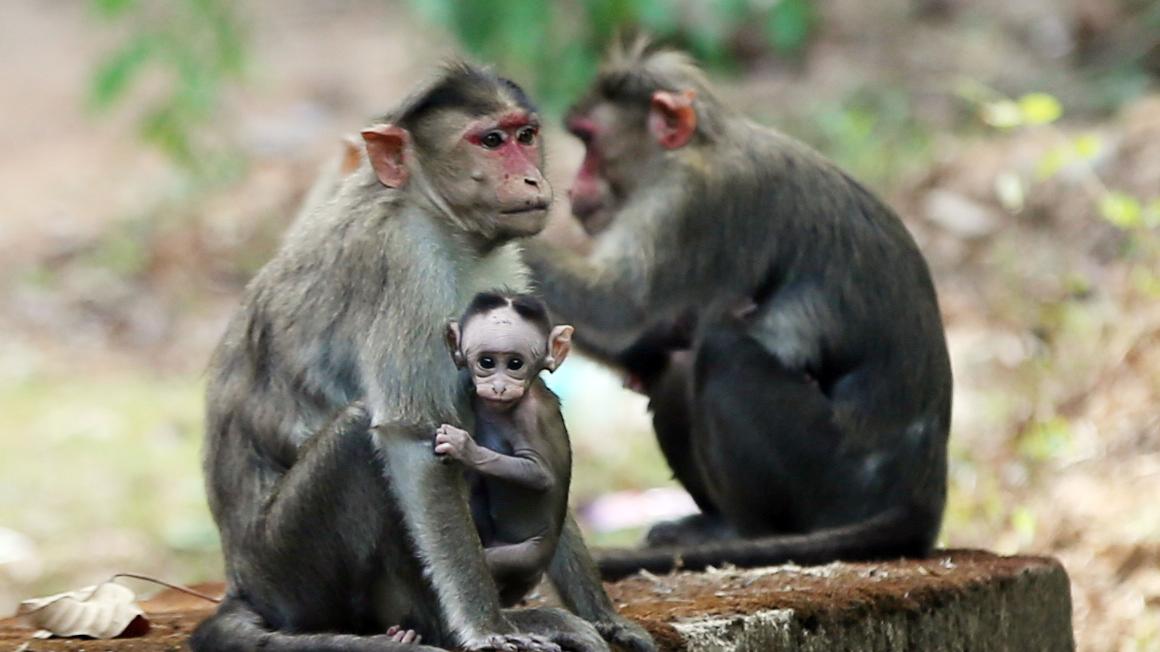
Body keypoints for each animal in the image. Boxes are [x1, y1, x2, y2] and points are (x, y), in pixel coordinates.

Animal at [434, 291, 576, 608]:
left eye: (515, 364)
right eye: (486, 362)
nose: (499, 387)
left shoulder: (529, 417)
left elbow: (538, 474)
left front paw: (464, 447)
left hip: (526, 555)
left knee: (496, 561)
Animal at [523, 41, 953, 580]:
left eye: (590, 142)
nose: (574, 190)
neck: (698, 147)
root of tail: (920, 492)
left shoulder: (686, 203)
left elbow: (621, 309)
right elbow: (647, 336)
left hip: (830, 474)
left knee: (720, 353)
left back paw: (745, 532)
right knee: (676, 368)